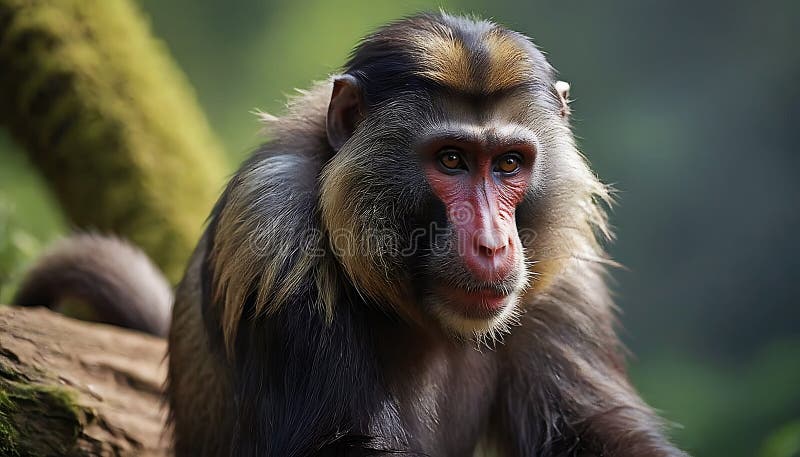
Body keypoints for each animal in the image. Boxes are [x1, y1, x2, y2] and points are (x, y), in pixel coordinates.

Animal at [13, 12, 689, 457]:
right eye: (451, 161)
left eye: (508, 165)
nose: (494, 243)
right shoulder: (273, 233)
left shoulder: (556, 271)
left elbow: (588, 433)